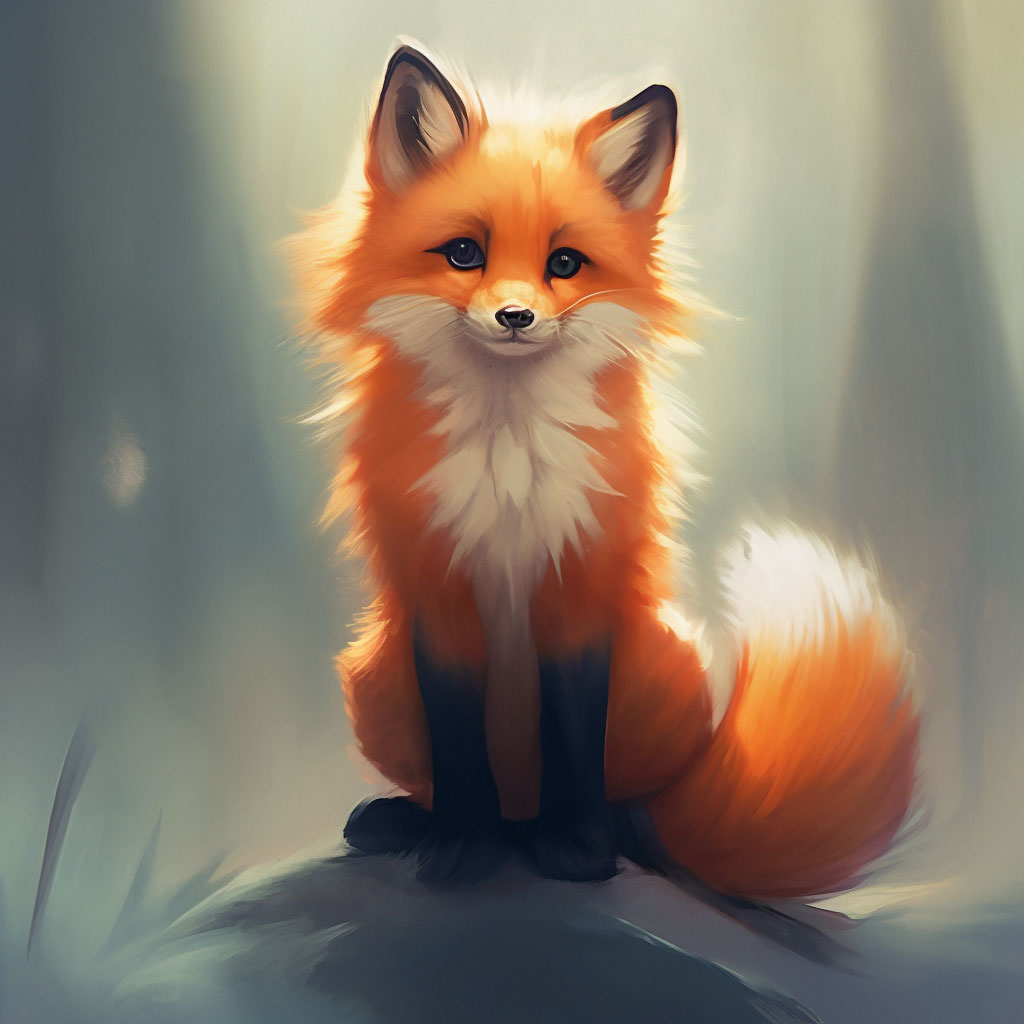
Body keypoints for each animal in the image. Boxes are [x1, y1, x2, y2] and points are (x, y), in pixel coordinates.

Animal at [293, 42, 920, 898]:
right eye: (465, 253)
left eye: (564, 263)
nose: (515, 316)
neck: (508, 459)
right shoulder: (438, 592)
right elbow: (457, 747)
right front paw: (458, 845)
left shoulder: (581, 587)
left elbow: (574, 737)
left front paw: (580, 851)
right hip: (377, 680)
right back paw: (425, 824)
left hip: (663, 677)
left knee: (634, 806)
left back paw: (592, 834)